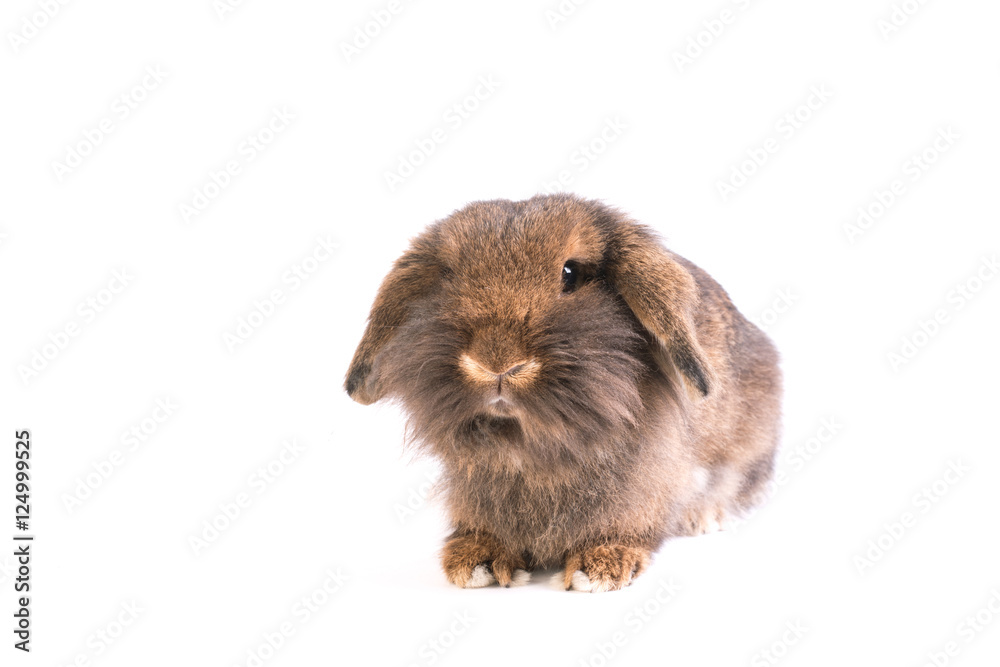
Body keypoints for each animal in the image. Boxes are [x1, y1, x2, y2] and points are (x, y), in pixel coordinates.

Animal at [345, 194, 782, 592]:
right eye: (449, 278)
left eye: (570, 273)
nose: (497, 362)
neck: (528, 444)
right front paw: (477, 560)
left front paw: (600, 565)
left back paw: (701, 518)